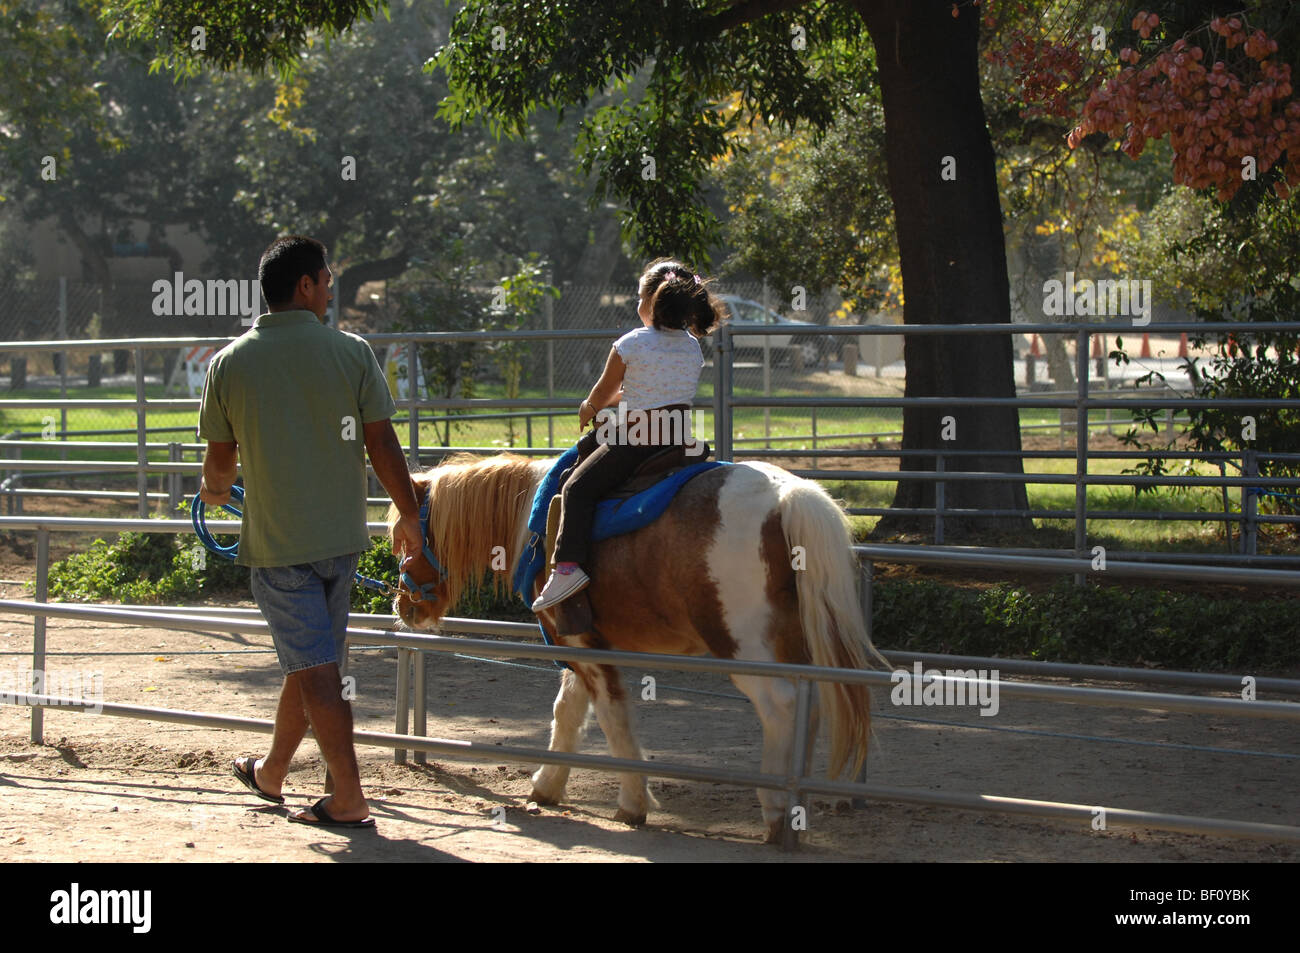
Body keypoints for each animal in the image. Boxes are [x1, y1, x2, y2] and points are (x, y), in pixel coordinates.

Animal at [388, 452, 881, 843]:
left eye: (402, 538)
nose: (404, 605)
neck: (534, 521)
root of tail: (786, 497)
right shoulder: (582, 644)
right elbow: (568, 711)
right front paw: (548, 784)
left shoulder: (583, 646)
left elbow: (612, 718)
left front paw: (632, 803)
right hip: (790, 644)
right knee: (809, 708)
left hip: (747, 649)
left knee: (783, 706)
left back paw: (777, 810)